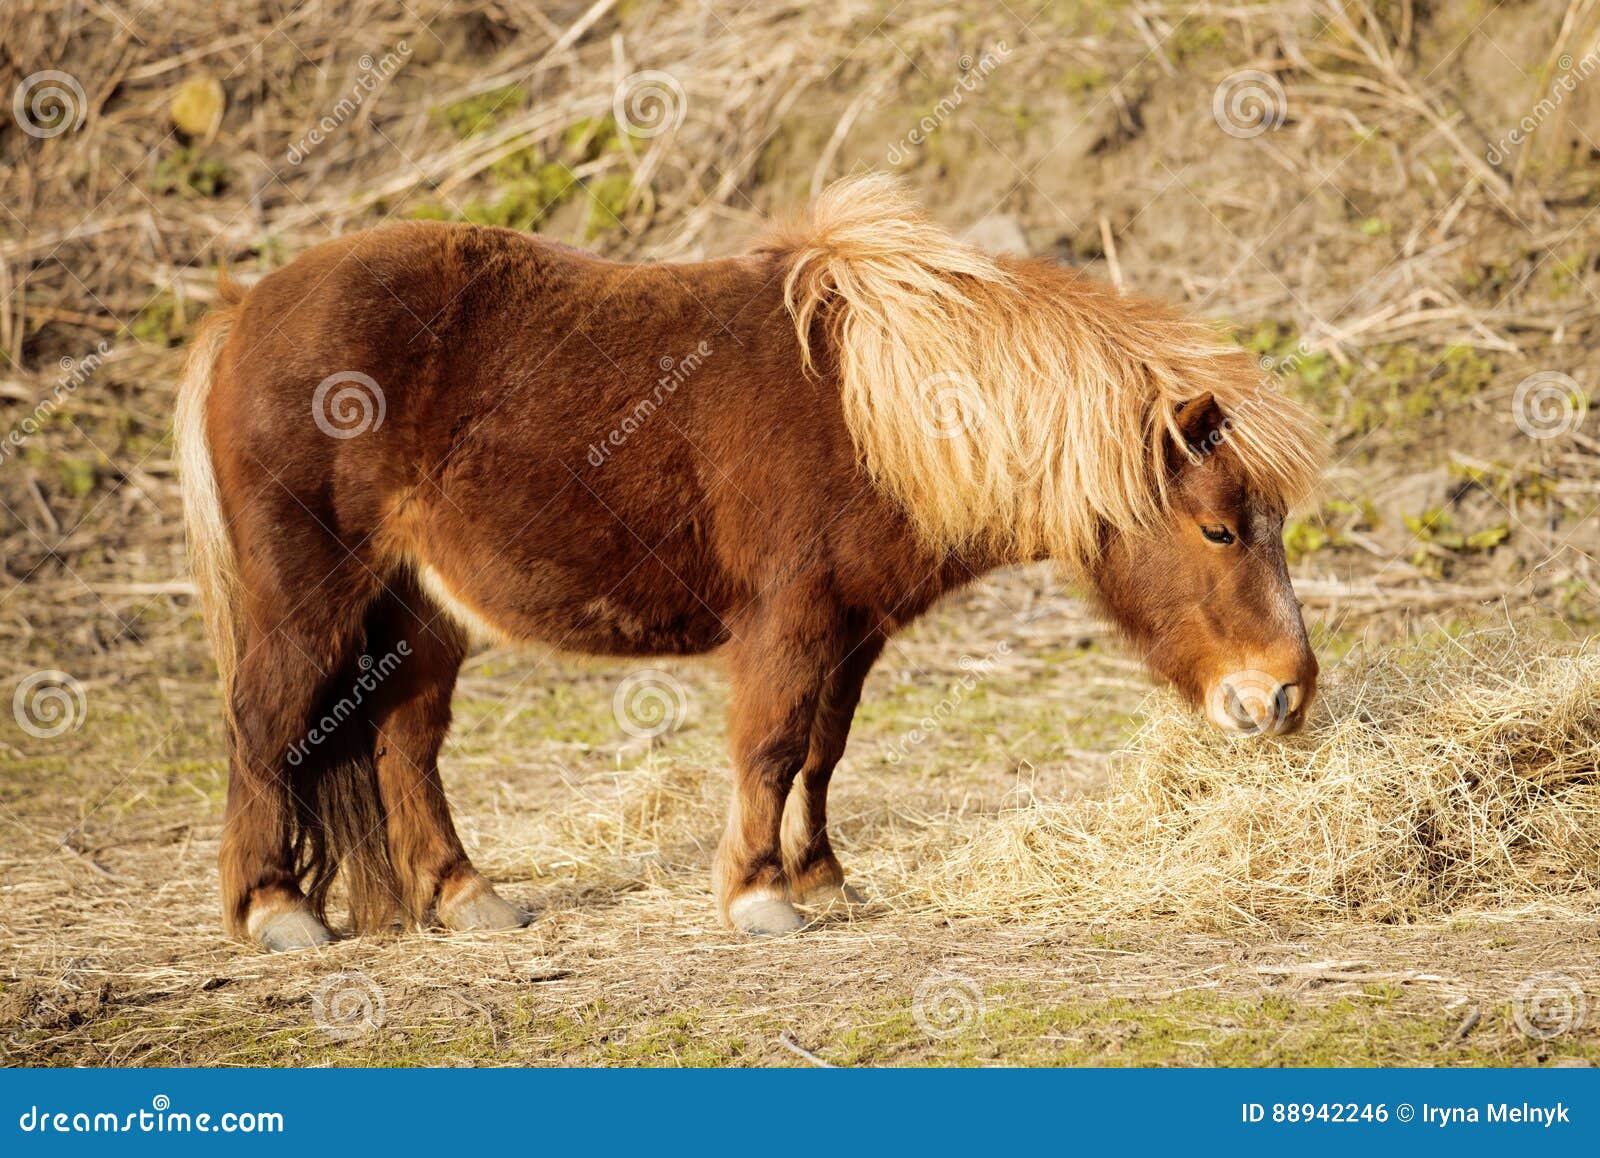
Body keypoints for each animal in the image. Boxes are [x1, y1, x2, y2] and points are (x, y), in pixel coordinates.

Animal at [174, 175, 1325, 952]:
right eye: (1220, 529)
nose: (1282, 697)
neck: (874, 410)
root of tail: (244, 310)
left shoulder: (853, 632)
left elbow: (822, 753)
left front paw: (821, 880)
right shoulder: (792, 620)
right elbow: (770, 748)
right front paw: (759, 895)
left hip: (418, 612)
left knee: (403, 747)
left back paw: (467, 898)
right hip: (311, 600)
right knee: (263, 723)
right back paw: (276, 910)